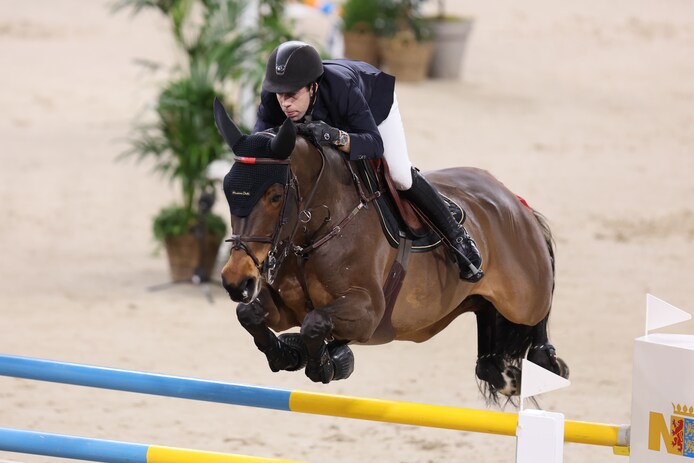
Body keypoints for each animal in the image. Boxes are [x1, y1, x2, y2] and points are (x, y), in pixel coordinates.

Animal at [213, 99, 569, 399]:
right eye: (228, 191)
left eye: (274, 196)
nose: (236, 281)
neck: (316, 229)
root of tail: (515, 203)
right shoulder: (286, 308)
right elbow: (250, 313)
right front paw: (287, 352)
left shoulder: (368, 311)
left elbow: (315, 322)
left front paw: (322, 364)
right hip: (477, 301)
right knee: (489, 351)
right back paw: (503, 371)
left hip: (524, 295)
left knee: (538, 313)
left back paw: (547, 360)